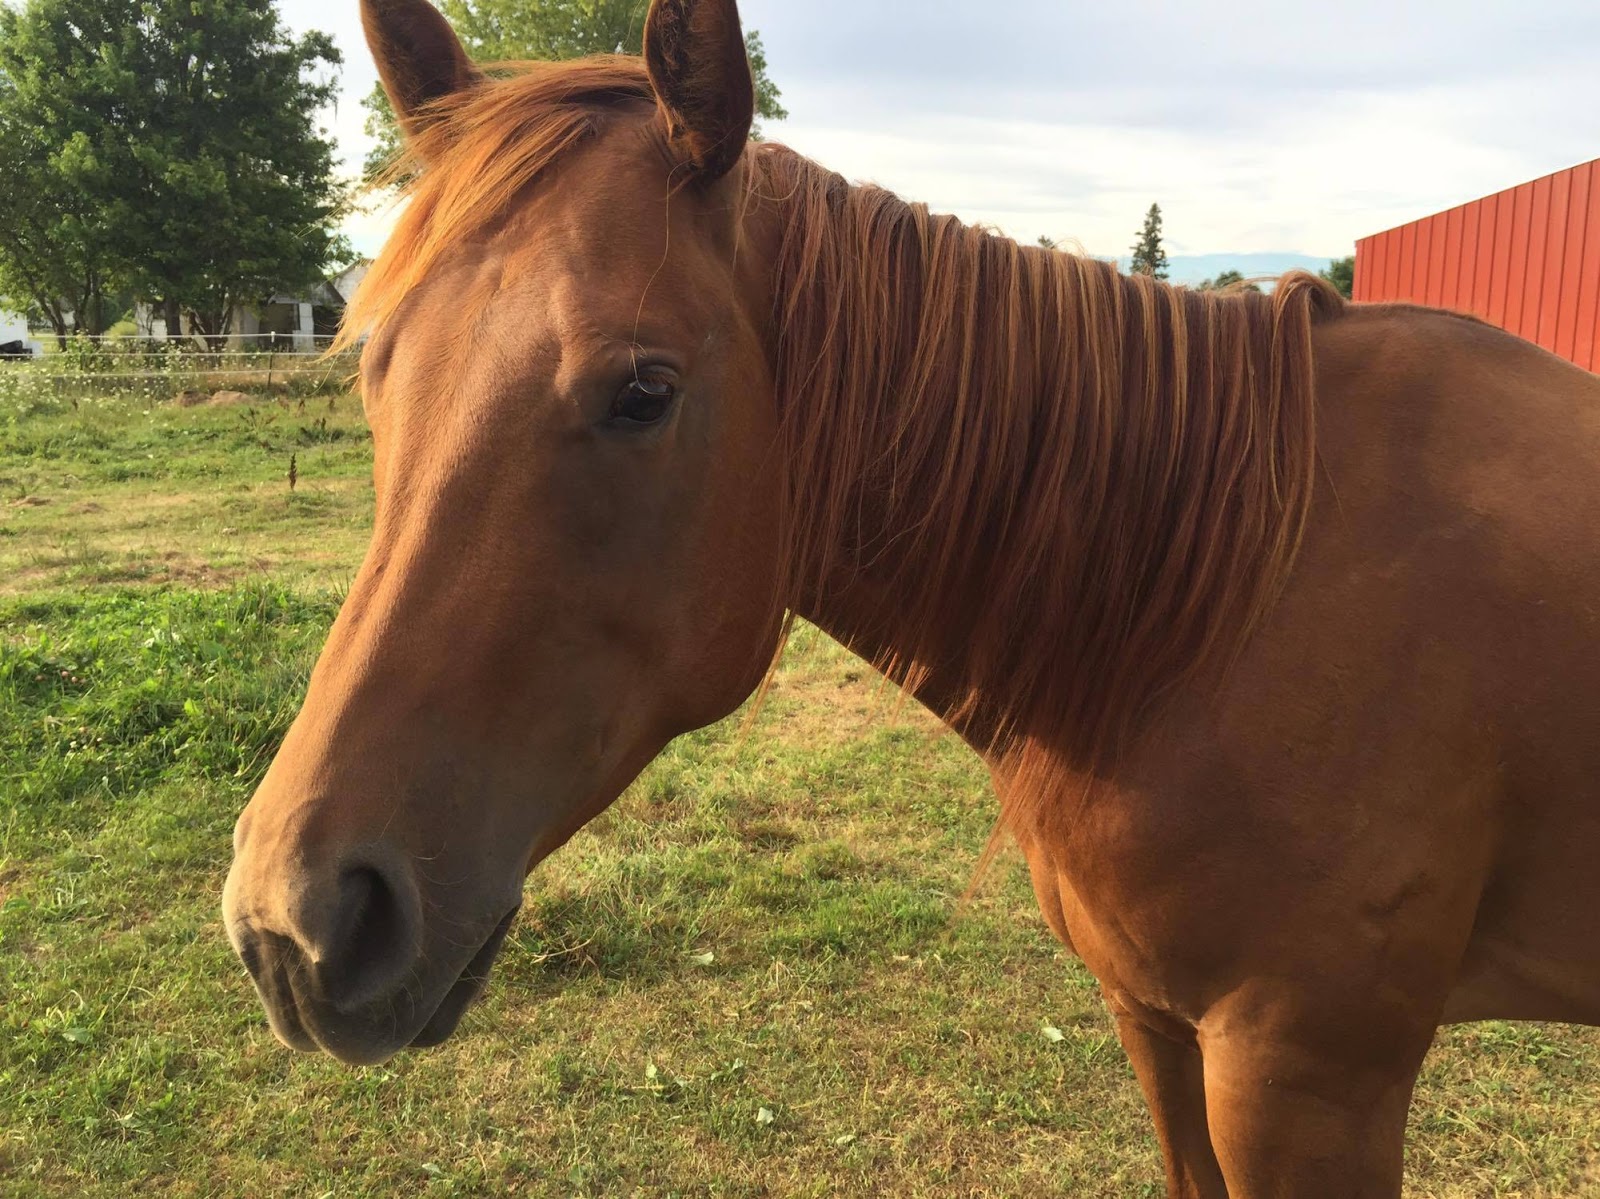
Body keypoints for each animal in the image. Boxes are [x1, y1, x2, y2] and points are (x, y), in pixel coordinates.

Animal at [222, 1, 1600, 1194]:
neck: (1224, 607)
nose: (298, 922)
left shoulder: (1305, 1081)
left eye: (644, 392)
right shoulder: (1157, 1026)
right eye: (375, 369)